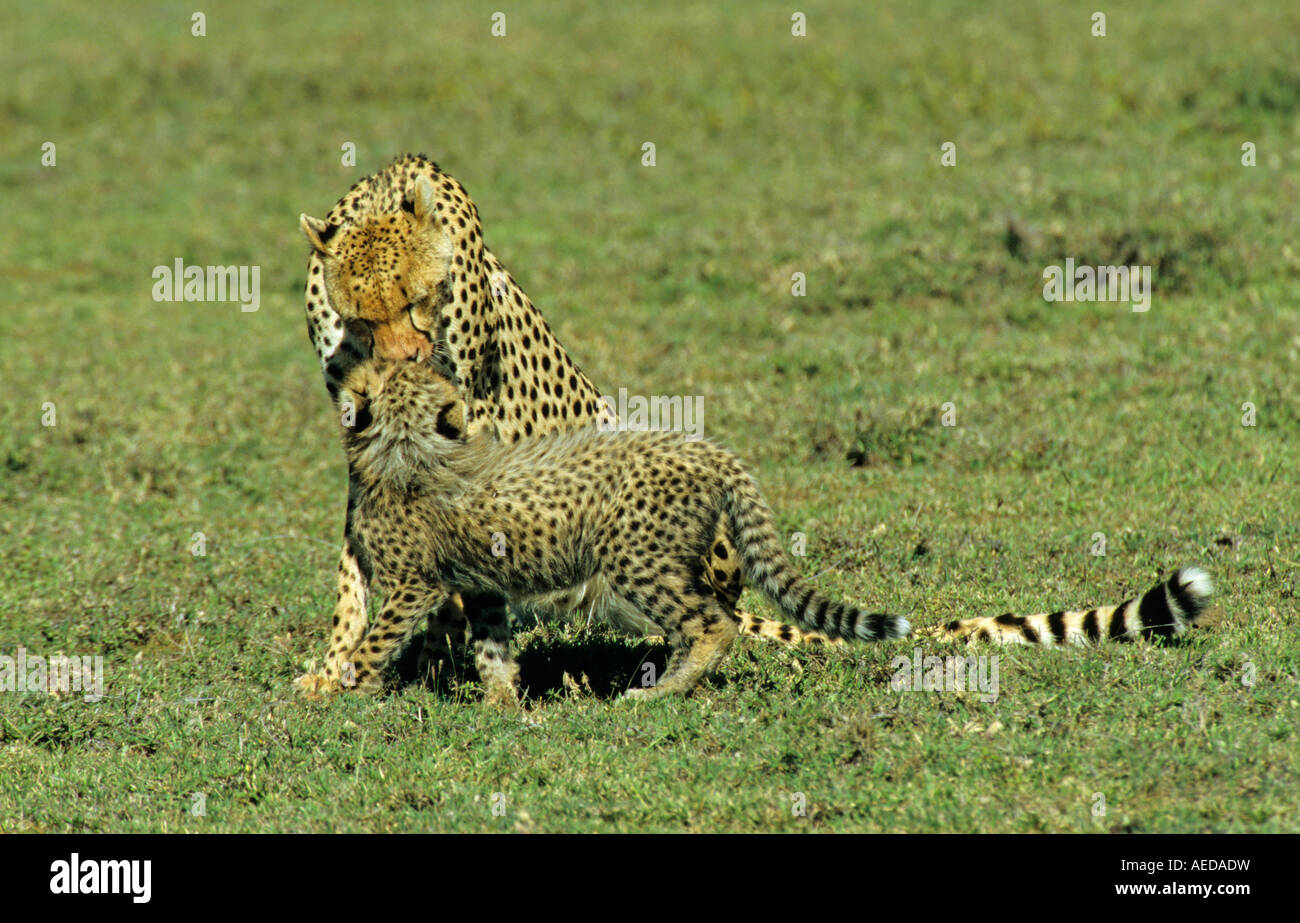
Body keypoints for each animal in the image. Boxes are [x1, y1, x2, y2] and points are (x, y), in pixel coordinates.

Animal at [295, 154, 824, 698]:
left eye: (417, 300)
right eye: (362, 318)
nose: (406, 363)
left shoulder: (469, 425)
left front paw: (429, 662)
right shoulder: (363, 439)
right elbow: (352, 566)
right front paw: (335, 667)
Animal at [330, 357, 913, 701]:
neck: (405, 440)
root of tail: (700, 446)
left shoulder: (415, 583)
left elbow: (374, 642)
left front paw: (344, 692)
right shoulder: (480, 584)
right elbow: (493, 648)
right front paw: (502, 705)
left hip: (634, 558)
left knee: (714, 624)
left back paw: (658, 693)